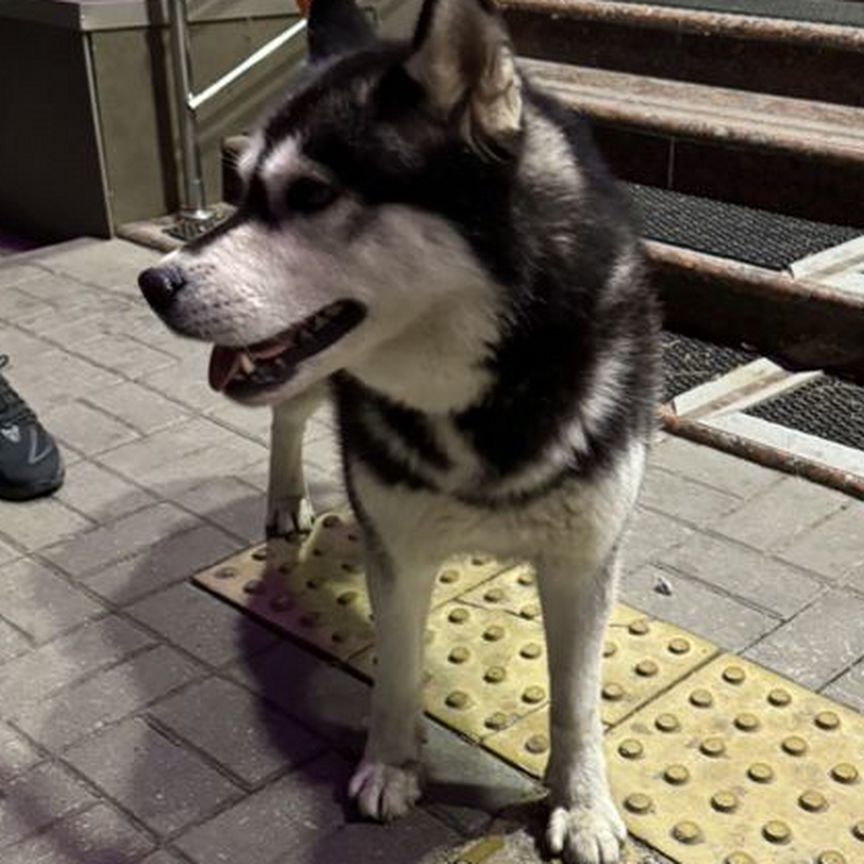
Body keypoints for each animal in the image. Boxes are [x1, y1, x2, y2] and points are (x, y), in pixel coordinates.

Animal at [138, 0, 660, 860]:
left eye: (311, 194)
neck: (479, 396)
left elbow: (576, 701)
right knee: (288, 420)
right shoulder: (401, 551)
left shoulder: (585, 559)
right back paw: (285, 502)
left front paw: (583, 803)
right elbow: (397, 667)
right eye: (242, 192)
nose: (153, 282)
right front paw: (390, 764)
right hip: (306, 388)